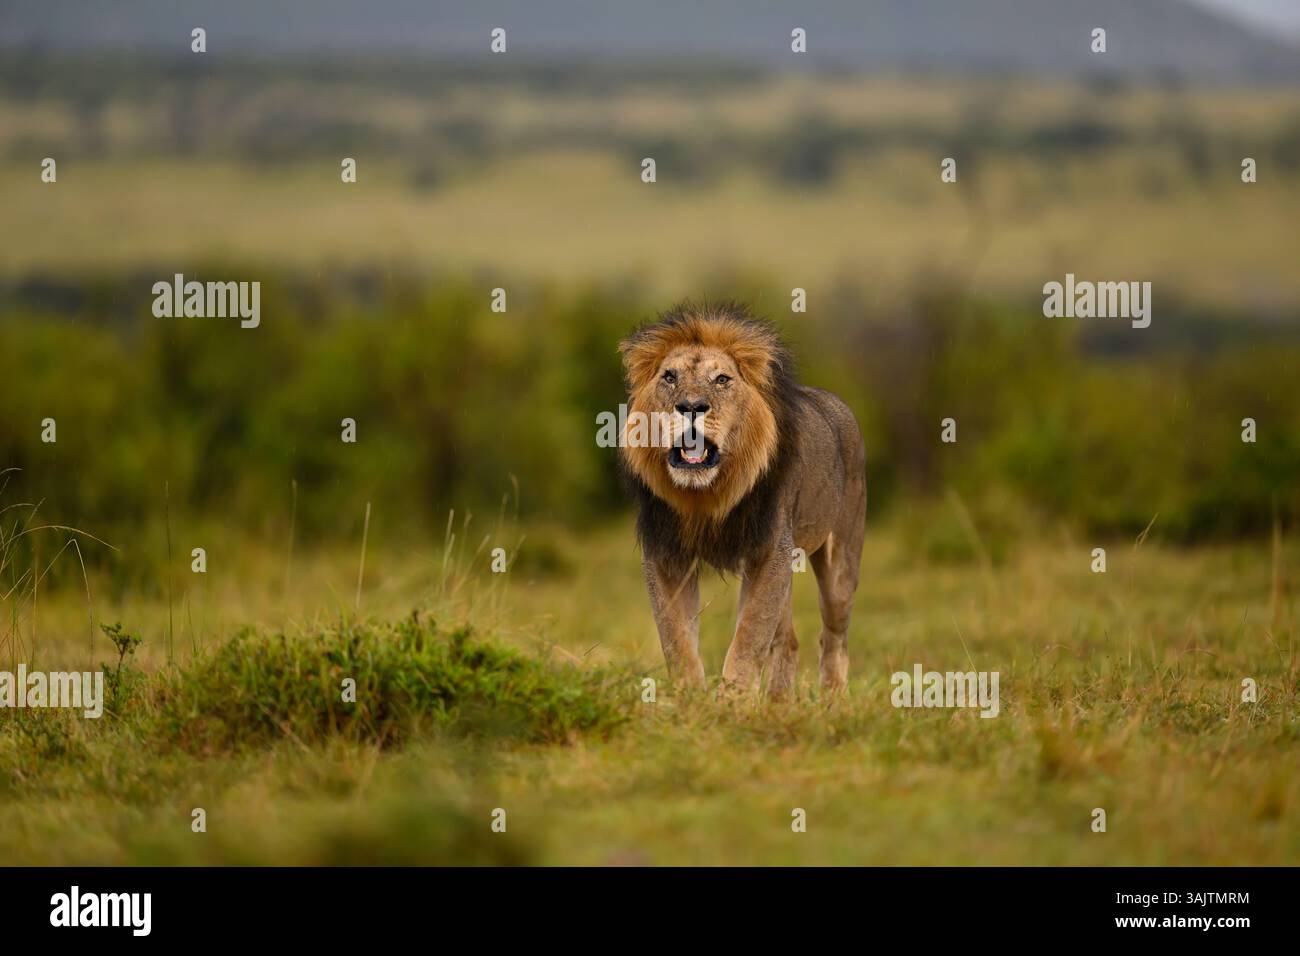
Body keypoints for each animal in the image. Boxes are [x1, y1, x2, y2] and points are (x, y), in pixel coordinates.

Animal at [618, 301, 866, 698]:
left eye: (722, 379)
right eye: (669, 377)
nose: (691, 406)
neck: (706, 496)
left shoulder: (769, 551)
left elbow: (749, 636)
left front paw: (732, 699)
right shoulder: (666, 555)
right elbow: (676, 638)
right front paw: (690, 698)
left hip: (841, 559)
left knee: (834, 637)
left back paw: (832, 700)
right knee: (788, 641)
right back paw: (779, 703)